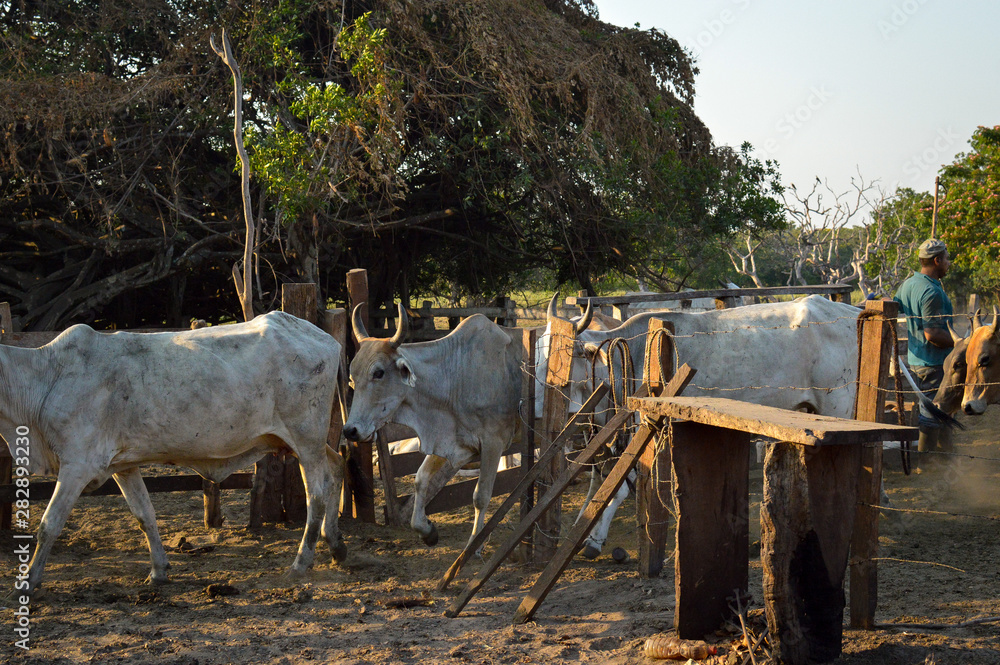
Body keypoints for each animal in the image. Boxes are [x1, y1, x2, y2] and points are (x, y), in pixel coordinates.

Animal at [0, 311, 347, 593]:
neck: (45, 377)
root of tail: (325, 338)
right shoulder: (123, 465)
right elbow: (145, 515)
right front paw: (159, 571)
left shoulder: (77, 465)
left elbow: (49, 524)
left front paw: (29, 582)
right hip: (305, 443)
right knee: (338, 466)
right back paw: (335, 545)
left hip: (306, 438)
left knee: (317, 493)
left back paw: (301, 562)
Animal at [342, 304, 522, 551]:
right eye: (353, 376)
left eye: (378, 372)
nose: (350, 430)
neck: (457, 375)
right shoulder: (450, 442)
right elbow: (420, 479)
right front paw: (427, 531)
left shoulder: (493, 444)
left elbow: (481, 495)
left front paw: (474, 544)